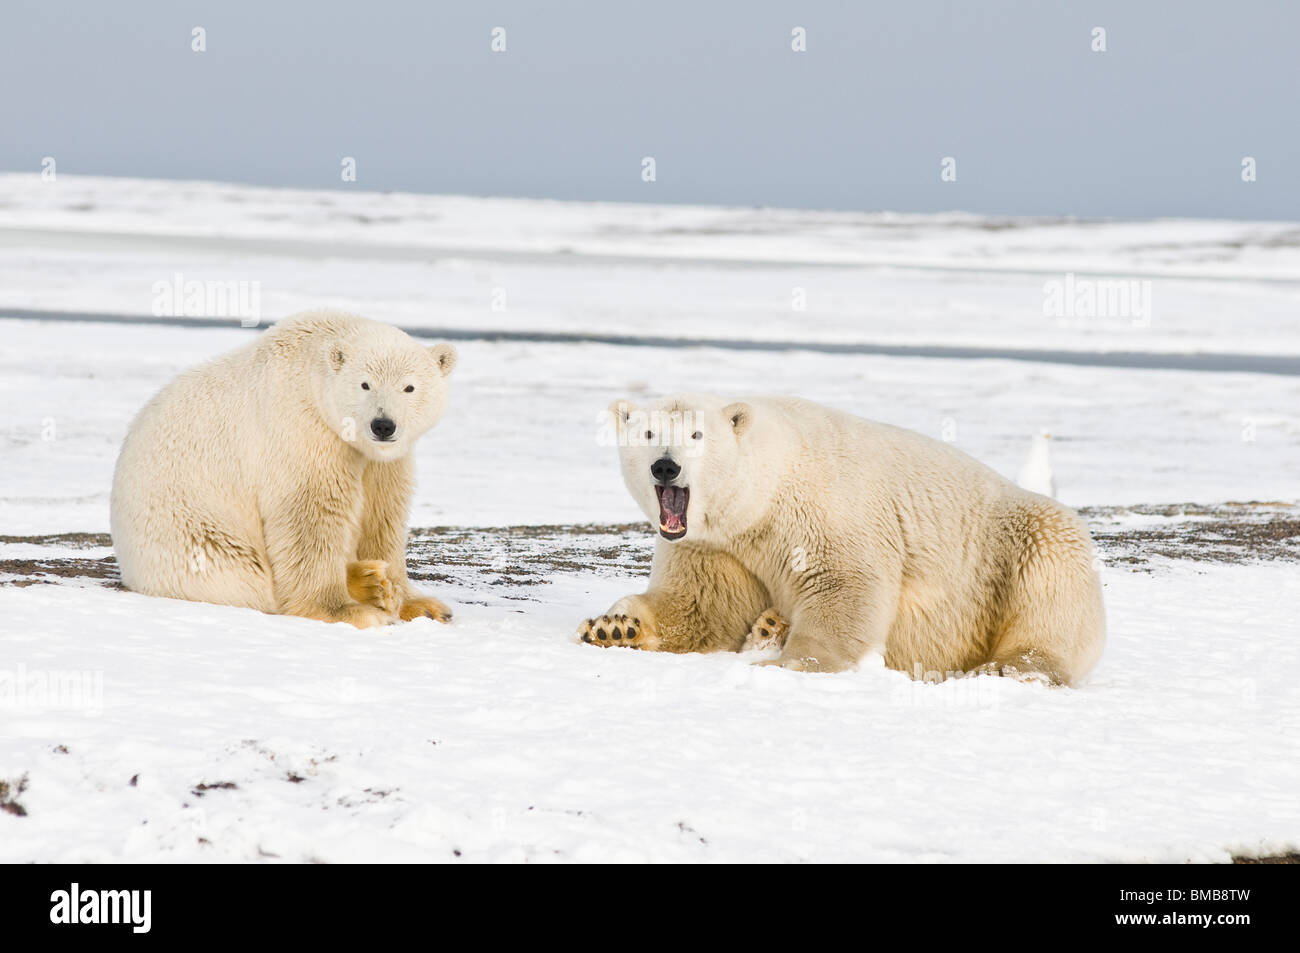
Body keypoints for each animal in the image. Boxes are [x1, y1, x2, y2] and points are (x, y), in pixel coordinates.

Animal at [110, 310, 457, 629]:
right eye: (365, 384)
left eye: (409, 387)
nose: (383, 425)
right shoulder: (301, 430)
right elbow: (311, 514)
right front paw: (347, 610)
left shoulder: (384, 460)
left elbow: (382, 514)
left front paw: (421, 605)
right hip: (195, 539)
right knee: (249, 582)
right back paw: (365, 582)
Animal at [578, 394, 1106, 685]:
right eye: (649, 432)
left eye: (696, 435)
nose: (665, 466)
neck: (761, 495)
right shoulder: (714, 544)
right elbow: (698, 605)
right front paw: (614, 626)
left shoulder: (823, 508)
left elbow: (845, 583)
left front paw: (787, 665)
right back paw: (769, 626)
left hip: (1015, 541)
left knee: (1049, 579)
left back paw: (1003, 667)